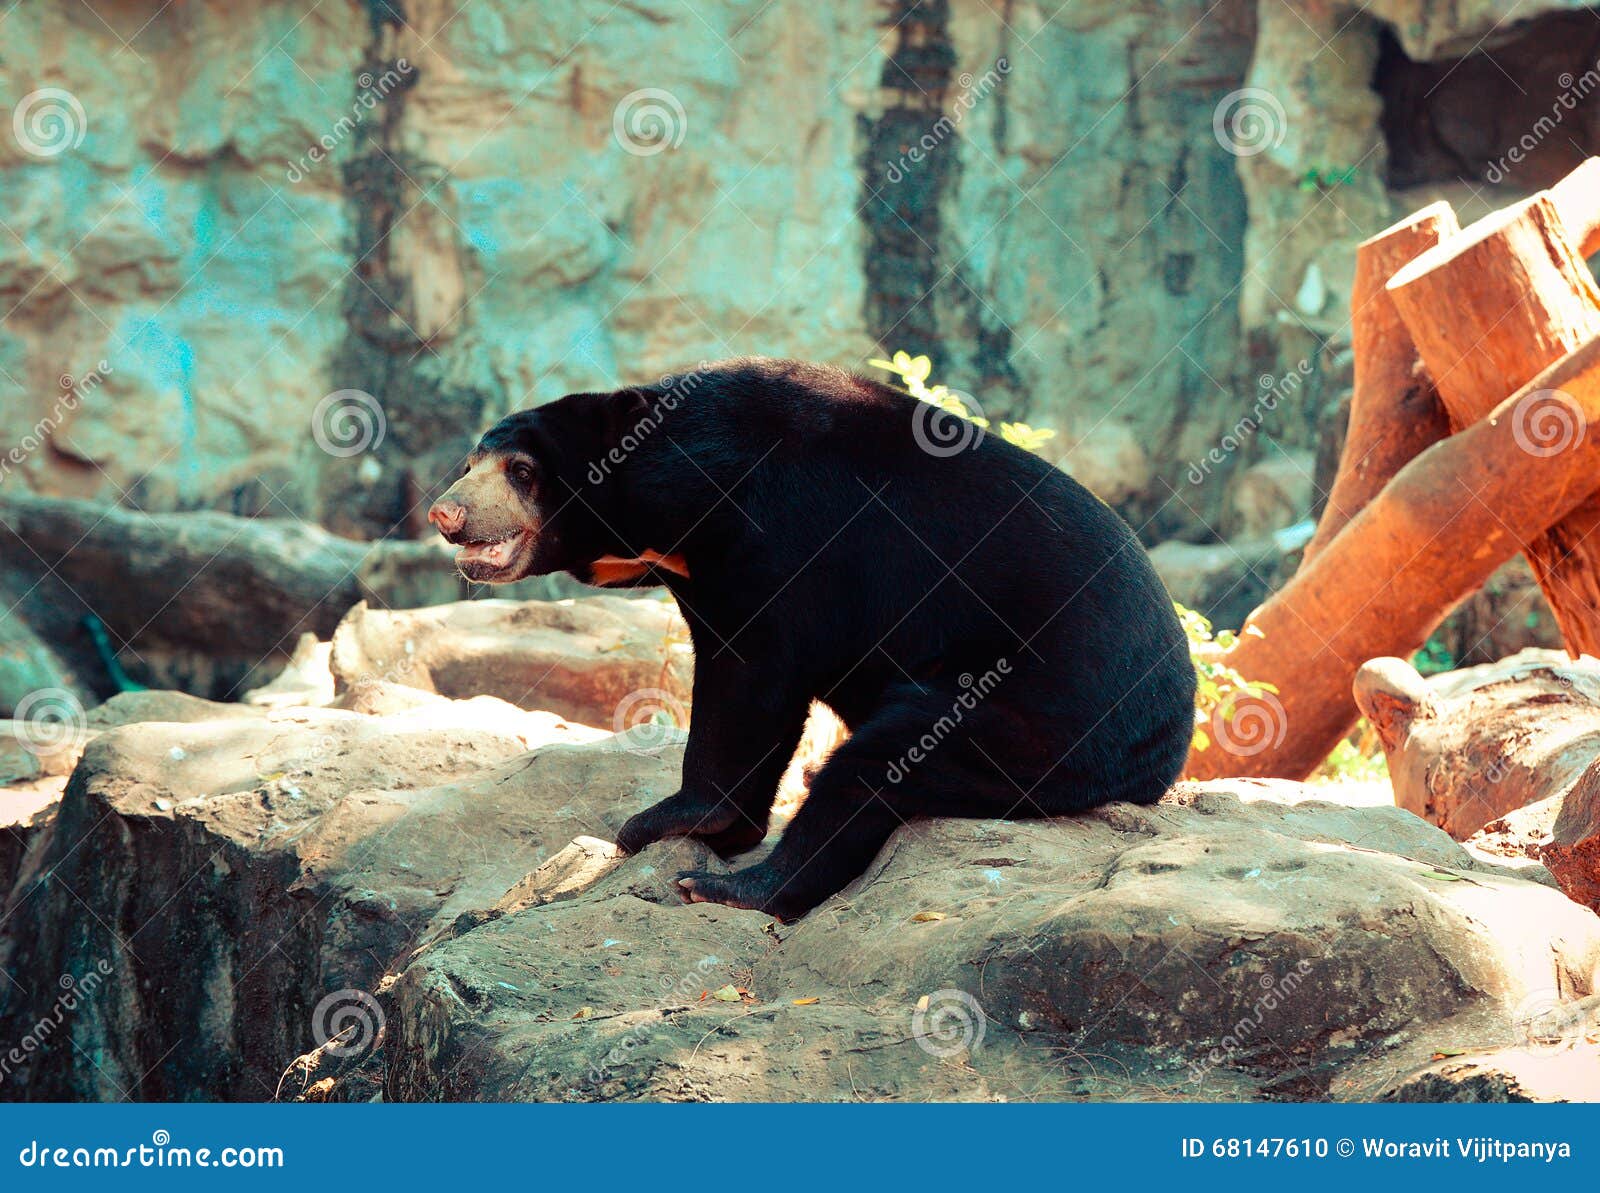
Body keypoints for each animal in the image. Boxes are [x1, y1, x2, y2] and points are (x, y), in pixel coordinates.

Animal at [428, 357, 1196, 919]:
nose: (446, 512)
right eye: (468, 464)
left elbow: (752, 676)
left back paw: (735, 887)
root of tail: (1166, 749)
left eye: (521, 472)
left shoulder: (780, 533)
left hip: (1039, 706)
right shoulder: (698, 568)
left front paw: (666, 822)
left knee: (878, 767)